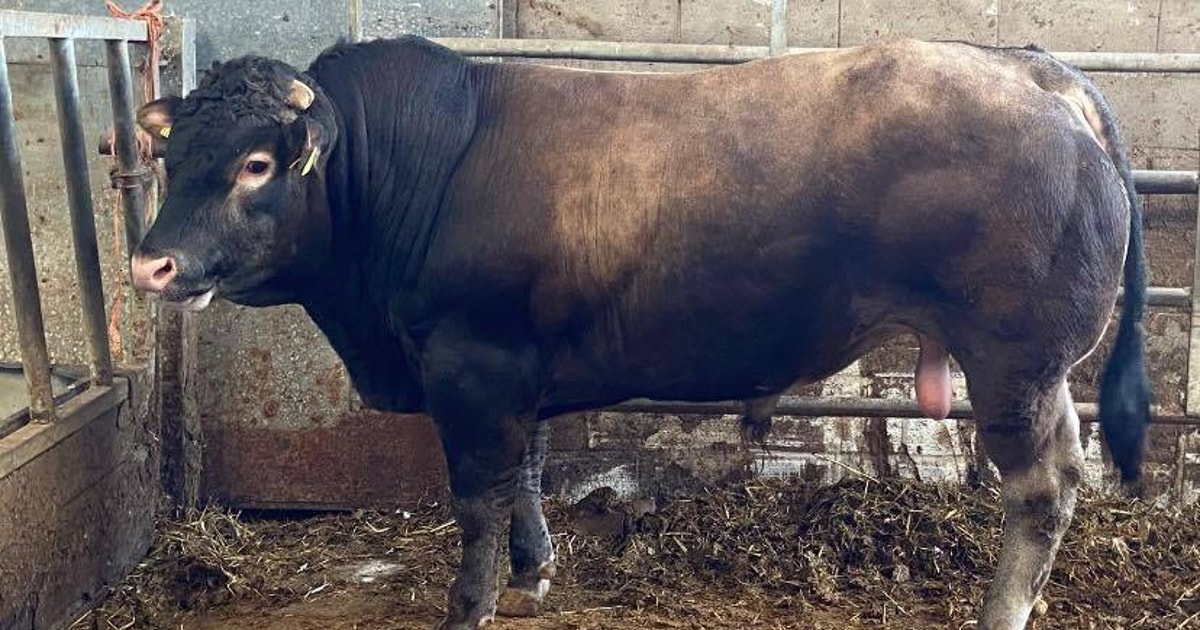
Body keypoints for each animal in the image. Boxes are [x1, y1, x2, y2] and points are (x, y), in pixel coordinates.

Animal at [126, 35, 1151, 630]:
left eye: (257, 164)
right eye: (174, 156)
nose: (151, 267)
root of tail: (1037, 71)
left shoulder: (469, 364)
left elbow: (478, 498)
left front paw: (470, 605)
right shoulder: (515, 369)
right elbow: (527, 476)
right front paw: (533, 577)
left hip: (1018, 360)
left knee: (1046, 487)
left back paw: (1002, 611)